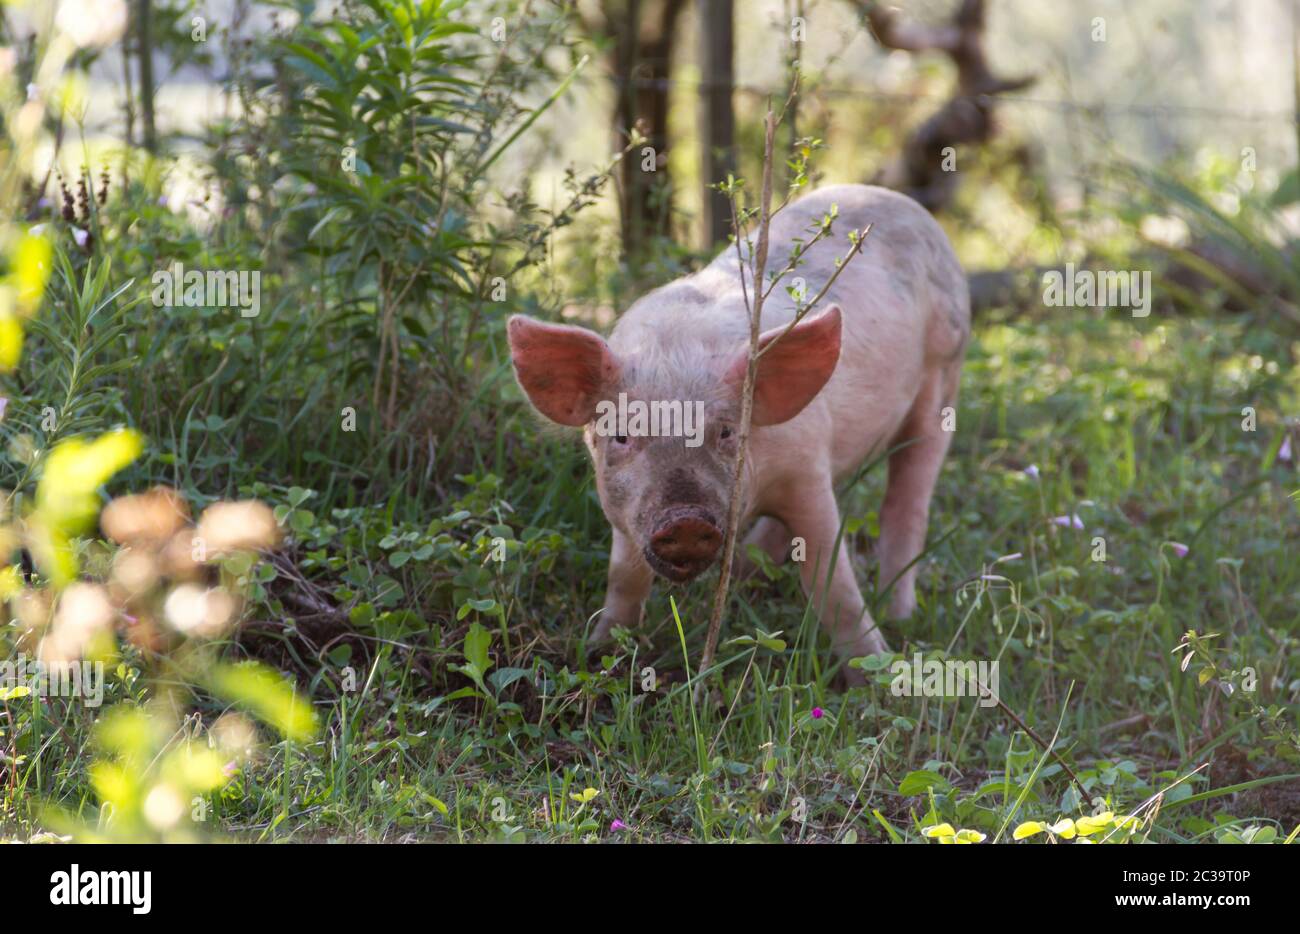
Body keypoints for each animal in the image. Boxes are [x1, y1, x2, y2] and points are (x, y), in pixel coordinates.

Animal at [507, 184, 969, 668]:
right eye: (621, 435)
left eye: (727, 432)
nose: (685, 519)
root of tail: (903, 202)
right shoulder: (624, 514)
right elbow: (624, 578)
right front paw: (600, 649)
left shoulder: (806, 468)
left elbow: (832, 580)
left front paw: (870, 669)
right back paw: (747, 574)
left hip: (944, 375)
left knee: (907, 502)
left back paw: (900, 616)